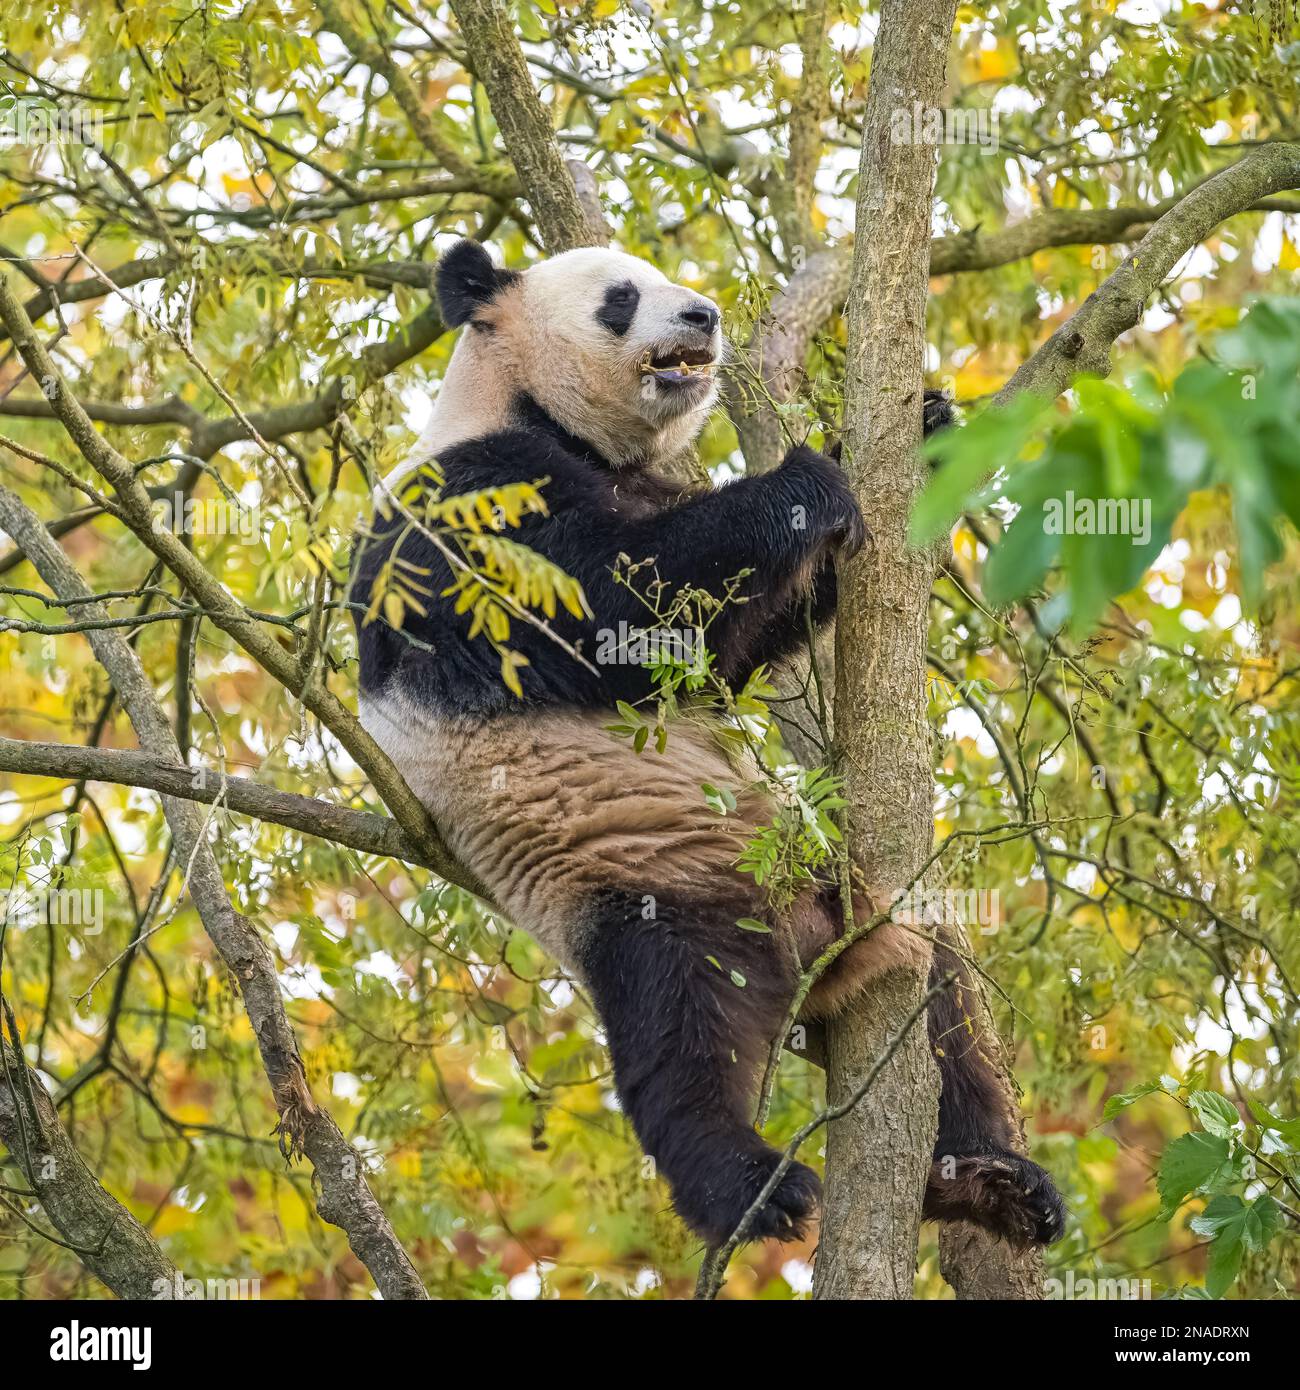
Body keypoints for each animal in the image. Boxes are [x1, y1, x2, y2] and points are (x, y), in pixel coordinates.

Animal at [351, 239, 1065, 1248]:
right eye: (621, 296)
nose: (704, 316)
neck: (523, 404)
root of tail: (799, 949)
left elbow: (717, 654)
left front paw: (924, 432)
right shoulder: (466, 504)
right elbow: (612, 606)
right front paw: (805, 480)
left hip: (847, 894)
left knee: (942, 1006)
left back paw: (989, 1179)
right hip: (638, 884)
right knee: (679, 1041)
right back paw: (756, 1189)